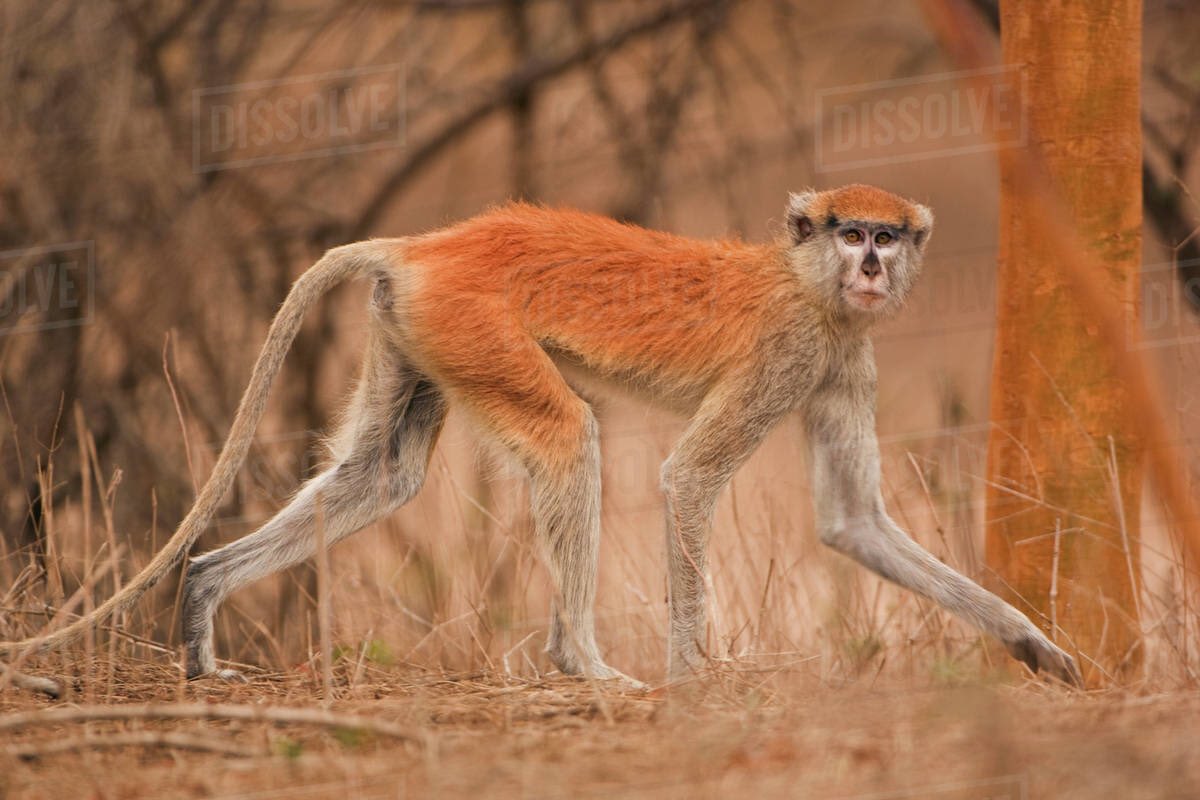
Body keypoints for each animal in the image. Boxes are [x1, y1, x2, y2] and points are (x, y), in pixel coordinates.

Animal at [0, 184, 1081, 687]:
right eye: (851, 231)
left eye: (888, 237)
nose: (870, 266)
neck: (806, 283)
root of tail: (426, 245)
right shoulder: (790, 350)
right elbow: (688, 478)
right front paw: (692, 676)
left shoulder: (842, 357)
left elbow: (853, 524)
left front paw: (1034, 644)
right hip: (473, 325)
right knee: (569, 438)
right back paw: (583, 662)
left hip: (419, 331)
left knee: (379, 475)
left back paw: (202, 597)